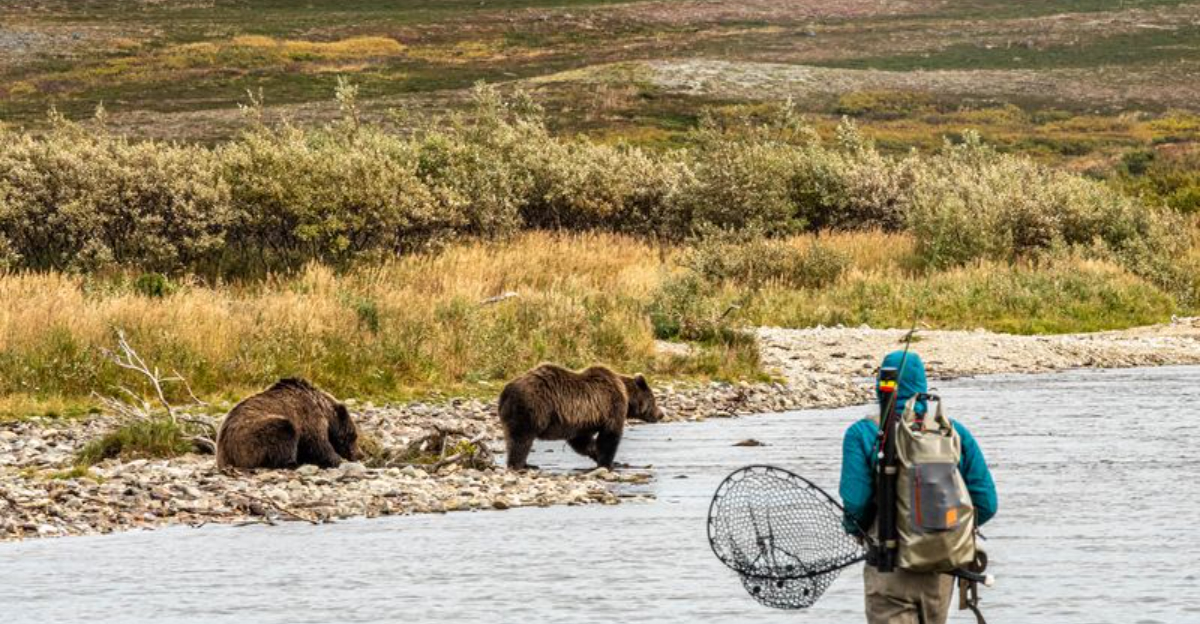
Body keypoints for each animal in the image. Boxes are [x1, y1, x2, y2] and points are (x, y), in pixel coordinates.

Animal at [215, 378, 360, 470]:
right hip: (251, 436)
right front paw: (335, 459)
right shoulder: (309, 417)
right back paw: (293, 463)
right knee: (284, 432)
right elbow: (318, 442)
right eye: (353, 436)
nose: (359, 455)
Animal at [498, 363, 664, 471]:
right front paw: (608, 463)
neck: (627, 396)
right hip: (532, 408)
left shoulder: (581, 421)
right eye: (654, 400)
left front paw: (597, 454)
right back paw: (520, 465)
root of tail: (506, 391)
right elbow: (610, 436)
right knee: (521, 438)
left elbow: (582, 442)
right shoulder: (612, 406)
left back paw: (527, 464)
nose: (661, 414)